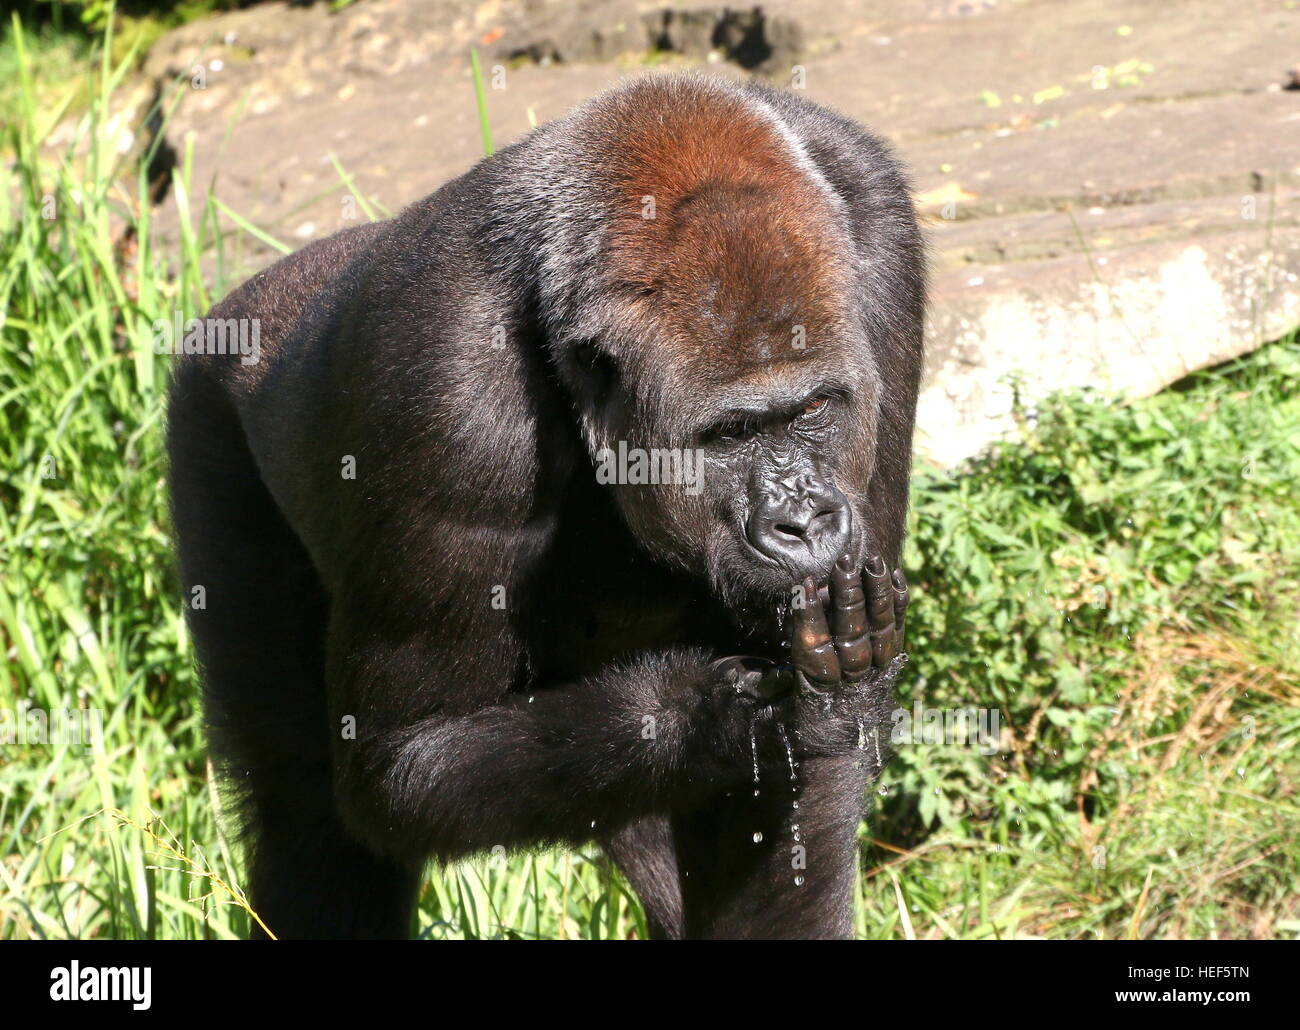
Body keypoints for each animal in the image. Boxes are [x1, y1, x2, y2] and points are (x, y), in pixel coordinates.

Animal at [166, 71, 925, 940]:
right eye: (730, 434)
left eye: (814, 410)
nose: (802, 522)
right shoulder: (449, 389)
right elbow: (406, 765)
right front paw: (744, 716)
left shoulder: (884, 249)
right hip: (210, 422)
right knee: (309, 813)